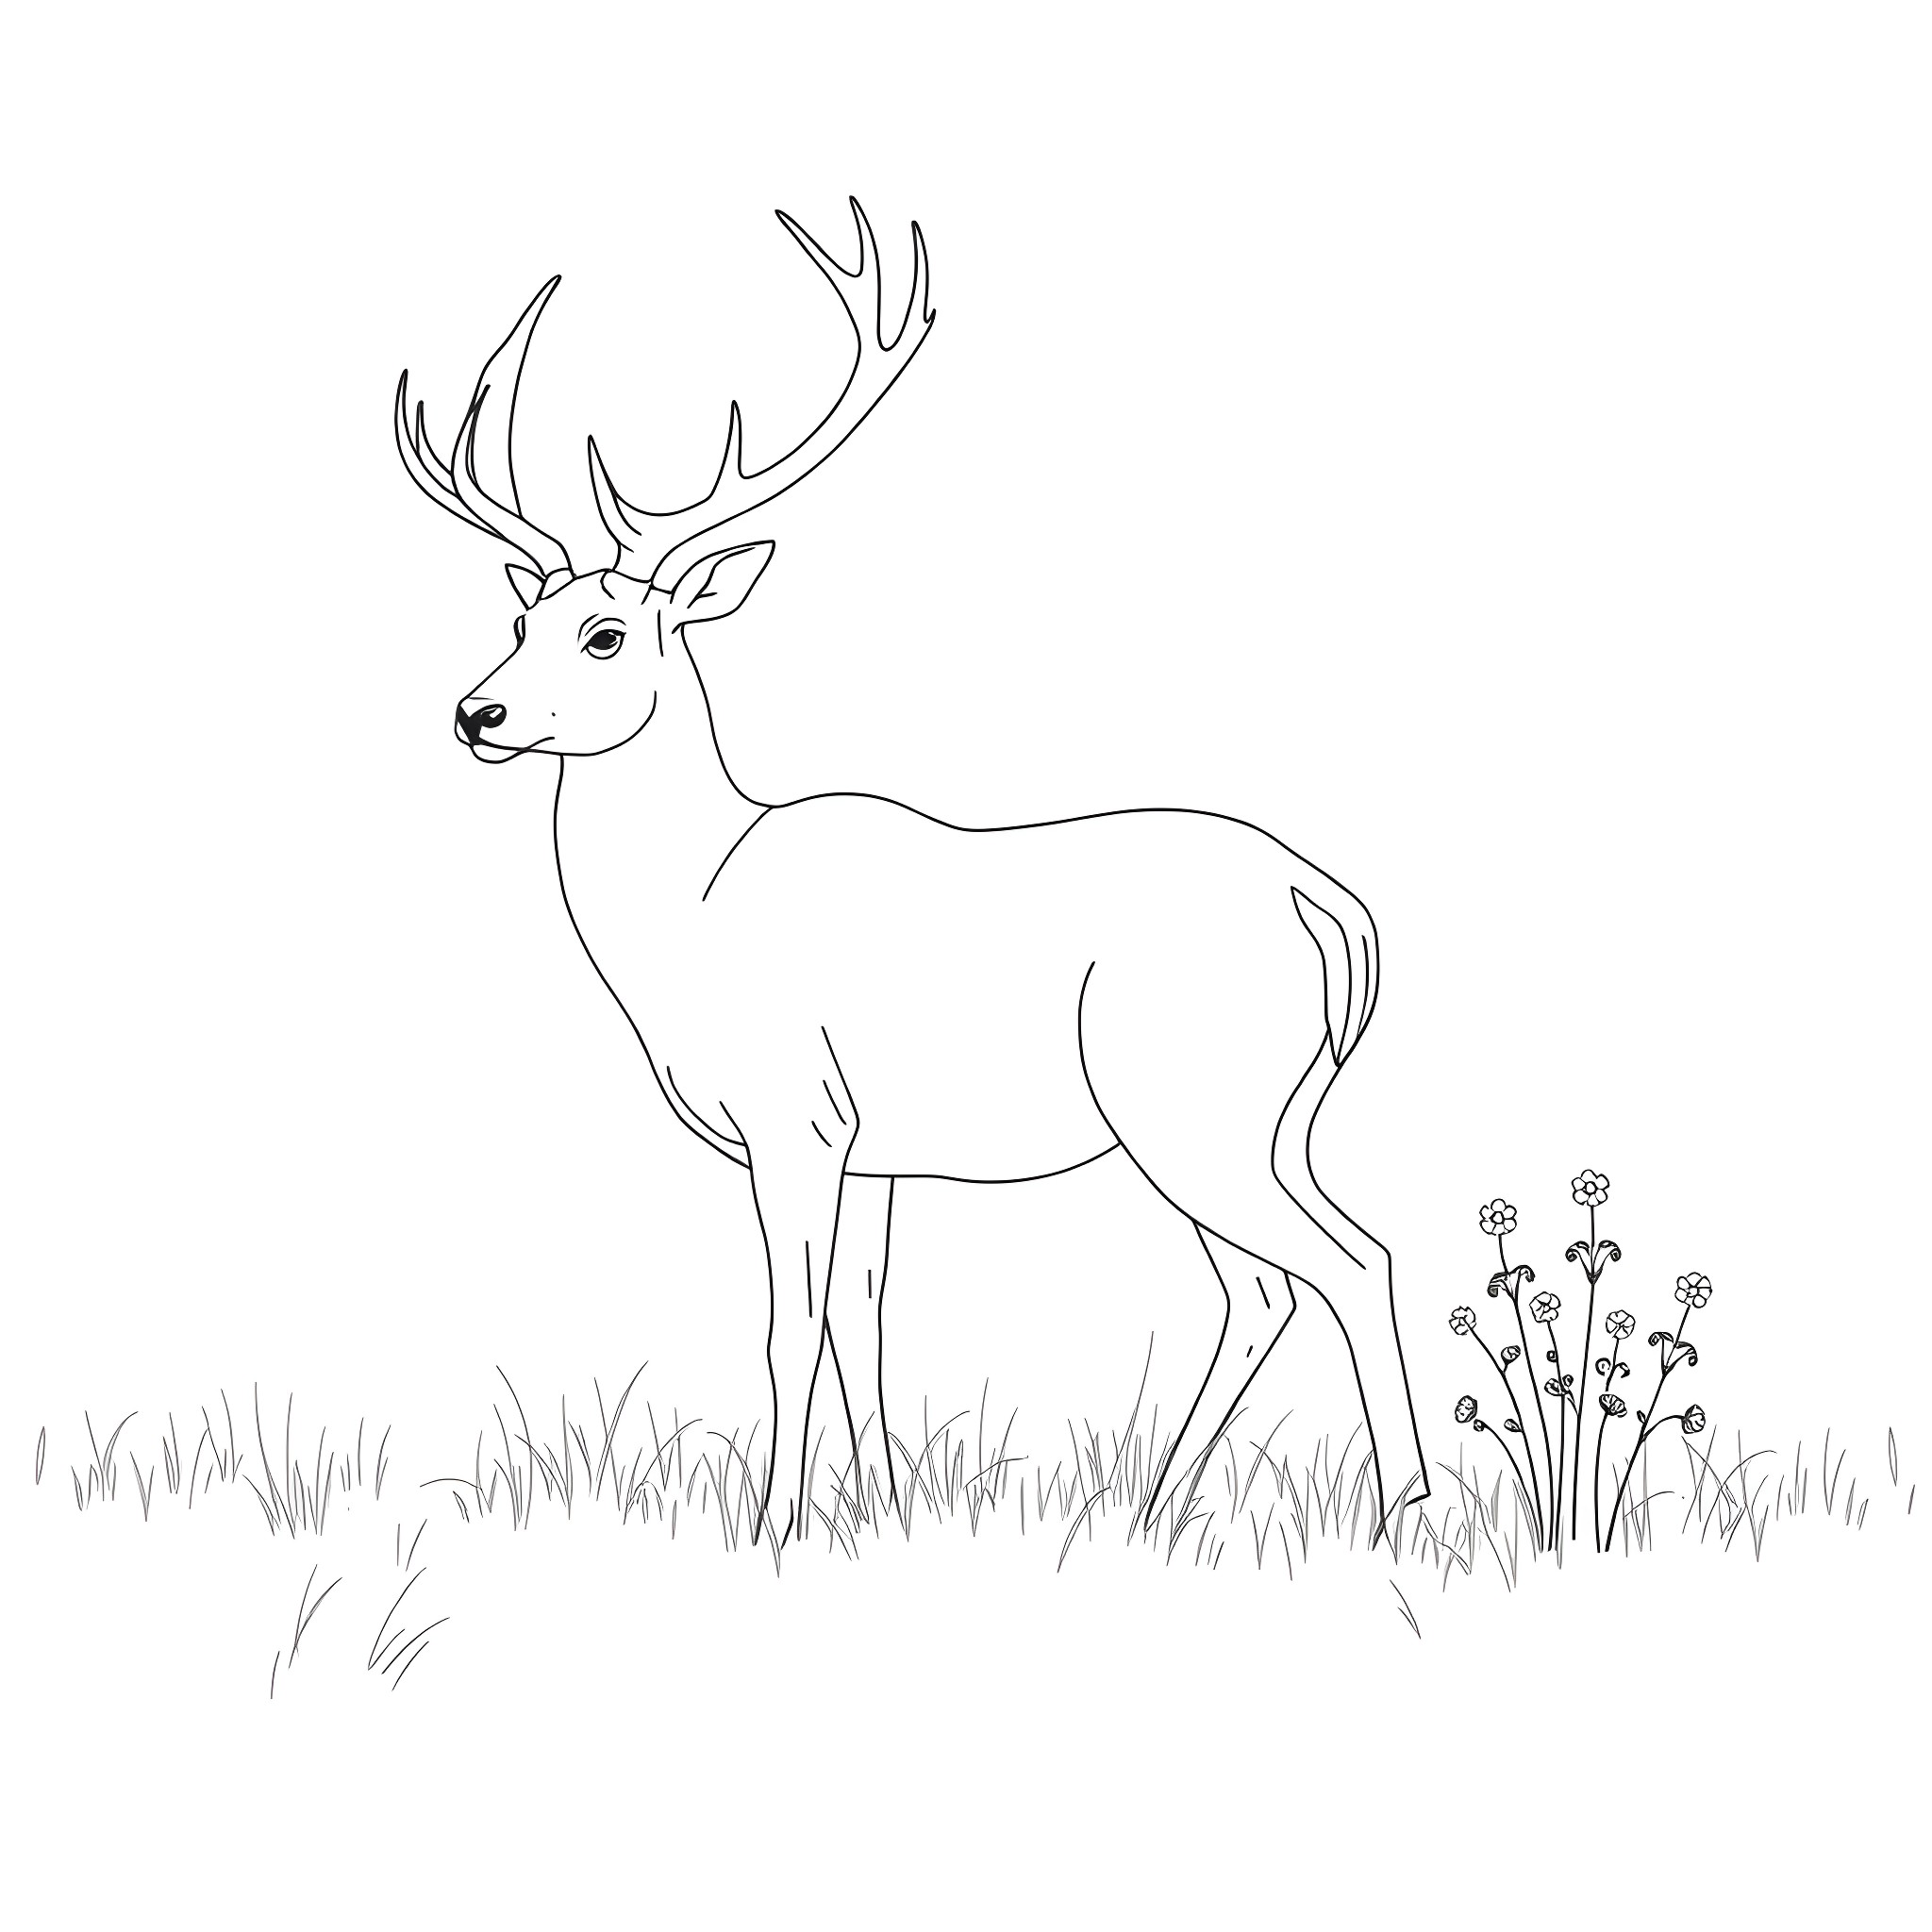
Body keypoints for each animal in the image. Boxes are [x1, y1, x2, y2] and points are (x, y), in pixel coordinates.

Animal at [394, 200, 1428, 1549]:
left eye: (607, 633)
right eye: (521, 622)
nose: (476, 713)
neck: (690, 919)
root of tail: (1330, 905)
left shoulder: (794, 1113)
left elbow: (789, 1329)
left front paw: (773, 1528)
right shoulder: (875, 1147)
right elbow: (865, 1321)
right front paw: (882, 1508)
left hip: (1195, 1101)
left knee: (1346, 1262)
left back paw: (1400, 1507)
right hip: (1266, 1112)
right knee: (1264, 1286)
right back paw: (1154, 1510)